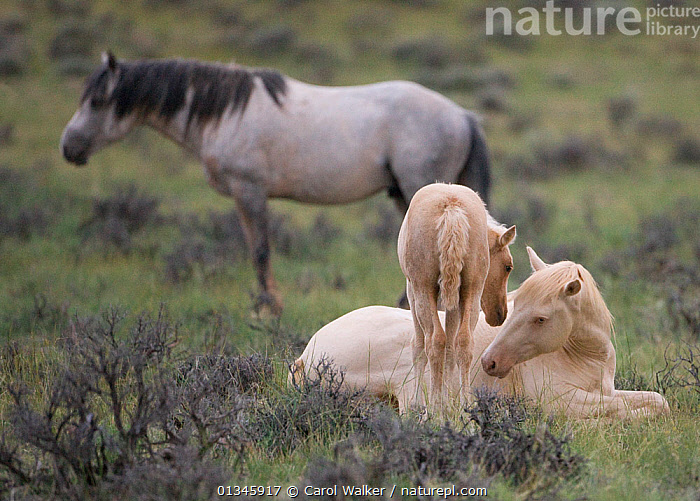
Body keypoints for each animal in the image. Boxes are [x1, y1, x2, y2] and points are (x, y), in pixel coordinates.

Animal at [60, 52, 493, 316]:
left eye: (97, 102)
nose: (68, 148)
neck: (227, 113)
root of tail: (462, 116)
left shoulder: (248, 191)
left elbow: (261, 251)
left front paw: (268, 307)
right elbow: (256, 248)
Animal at [290, 247, 669, 419]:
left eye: (541, 319)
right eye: (516, 305)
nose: (489, 363)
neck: (584, 357)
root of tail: (304, 357)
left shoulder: (608, 391)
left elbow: (657, 401)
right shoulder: (559, 400)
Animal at [396, 183, 515, 410]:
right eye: (508, 267)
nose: (500, 314)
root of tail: (452, 210)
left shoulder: (412, 290)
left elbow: (418, 345)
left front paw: (418, 404)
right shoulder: (455, 300)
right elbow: (451, 349)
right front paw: (449, 400)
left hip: (424, 290)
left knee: (435, 341)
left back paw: (434, 408)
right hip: (471, 290)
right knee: (463, 342)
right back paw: (464, 407)